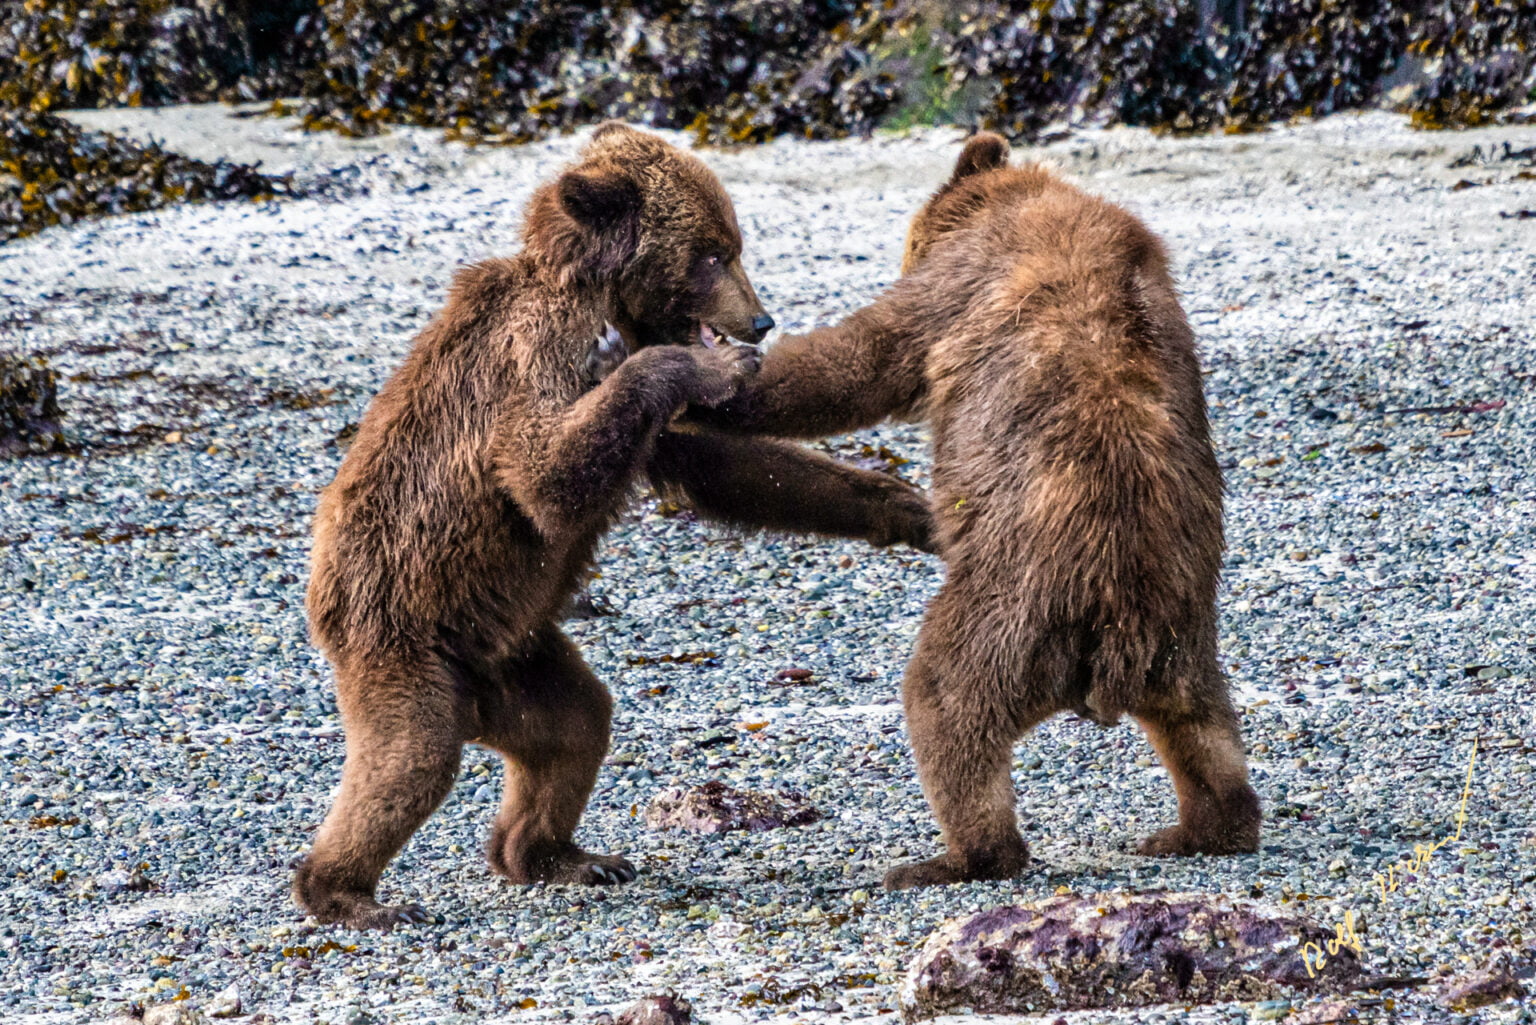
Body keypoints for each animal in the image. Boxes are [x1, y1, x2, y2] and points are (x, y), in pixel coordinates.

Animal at [294, 122, 934, 929]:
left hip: (516, 654)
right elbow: (544, 473)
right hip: (404, 637)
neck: (604, 298)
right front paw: (709, 366)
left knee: (575, 726)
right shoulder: (541, 350)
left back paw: (561, 855)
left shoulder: (647, 430)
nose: (760, 320)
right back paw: (348, 893)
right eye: (712, 252)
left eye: (734, 242)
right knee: (411, 755)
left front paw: (911, 507)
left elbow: (730, 467)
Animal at [692, 133, 1261, 889]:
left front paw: (727, 375)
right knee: (1203, 724)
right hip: (1180, 632)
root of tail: (1115, 626)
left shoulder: (956, 290)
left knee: (946, 703)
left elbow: (858, 360)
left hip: (1009, 616)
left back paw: (953, 855)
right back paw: (1204, 826)